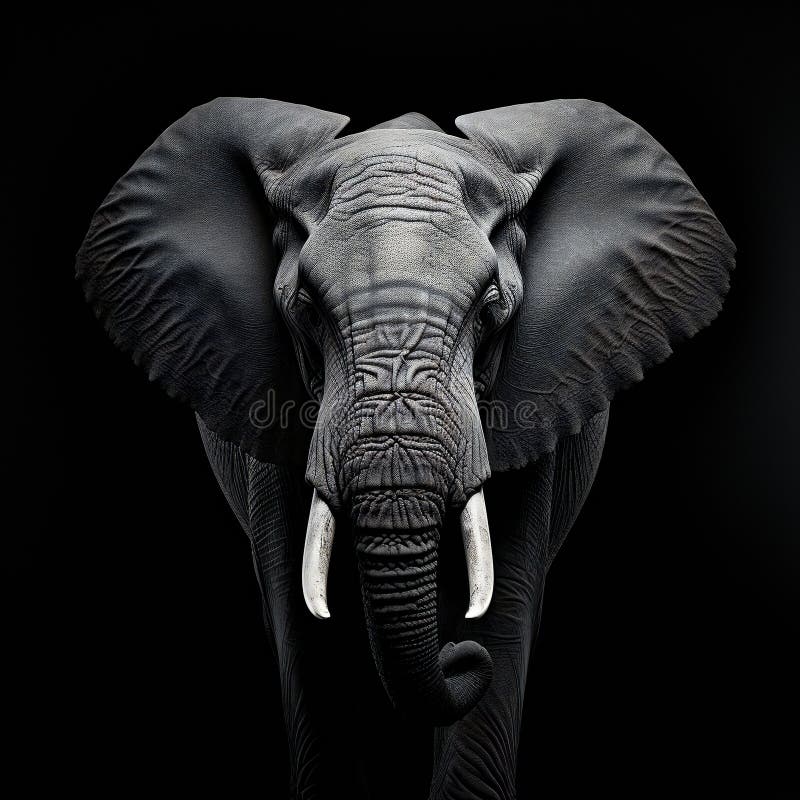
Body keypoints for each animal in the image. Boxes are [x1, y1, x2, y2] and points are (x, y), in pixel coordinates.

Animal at [76, 98, 734, 798]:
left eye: (490, 305)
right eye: (305, 304)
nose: (458, 660)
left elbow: (499, 618)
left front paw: (476, 643)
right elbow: (307, 642)